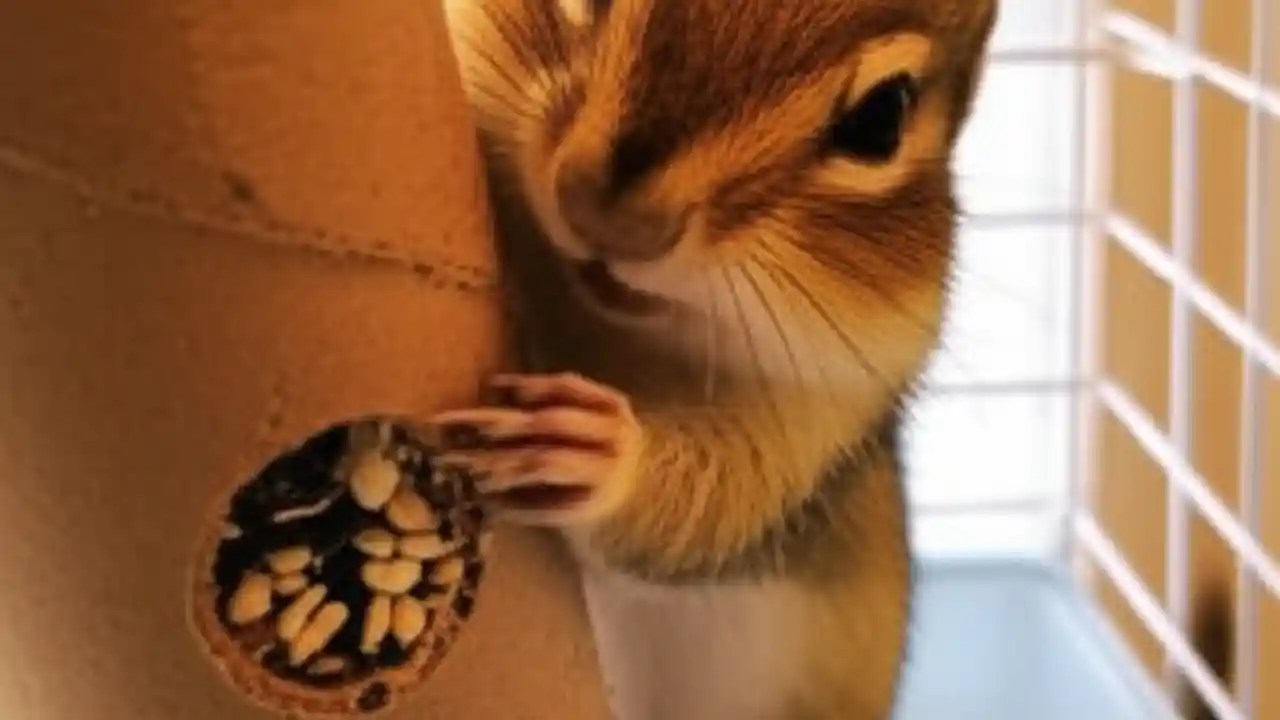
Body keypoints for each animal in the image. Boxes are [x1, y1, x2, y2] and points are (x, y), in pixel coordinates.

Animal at [439, 1, 998, 717]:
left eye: (881, 119)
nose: (608, 218)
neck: (604, 330)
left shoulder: (818, 427)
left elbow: (710, 506)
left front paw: (592, 451)